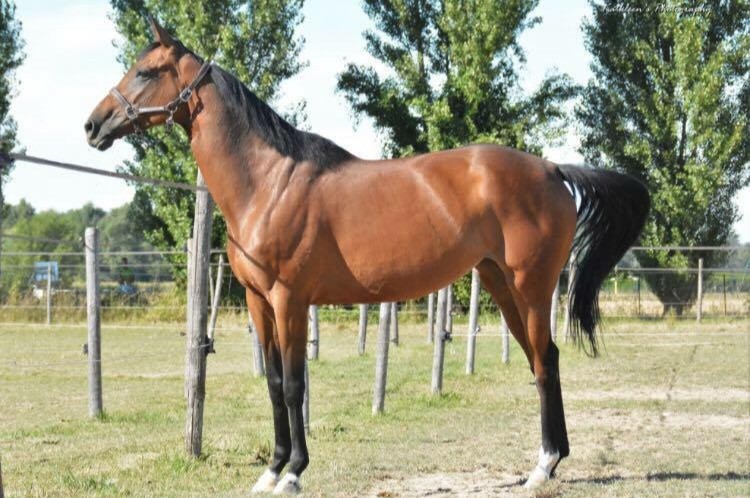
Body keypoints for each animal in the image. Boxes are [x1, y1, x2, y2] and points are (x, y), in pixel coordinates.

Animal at [85, 17, 650, 495]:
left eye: (146, 71)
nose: (93, 125)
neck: (268, 184)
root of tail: (552, 169)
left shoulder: (290, 300)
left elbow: (295, 386)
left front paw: (295, 472)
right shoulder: (258, 302)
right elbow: (273, 383)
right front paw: (271, 470)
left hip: (531, 288)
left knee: (547, 360)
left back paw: (543, 466)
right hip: (500, 283)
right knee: (538, 359)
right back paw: (546, 463)